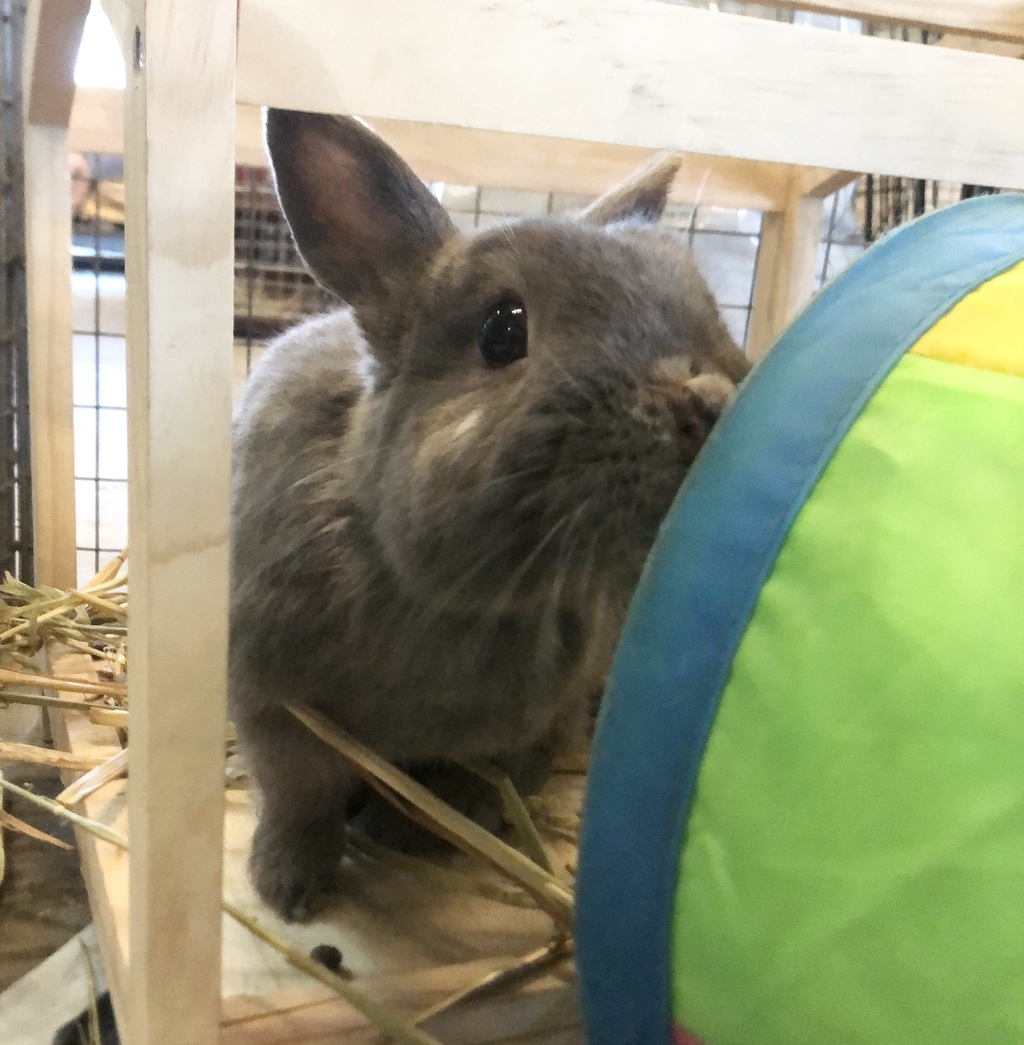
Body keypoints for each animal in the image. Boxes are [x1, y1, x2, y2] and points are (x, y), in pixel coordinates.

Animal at [230, 108, 751, 922]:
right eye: (503, 329)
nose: (707, 404)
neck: (440, 594)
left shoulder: (518, 725)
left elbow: (469, 782)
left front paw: (402, 830)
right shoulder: (273, 707)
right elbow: (298, 797)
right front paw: (288, 888)